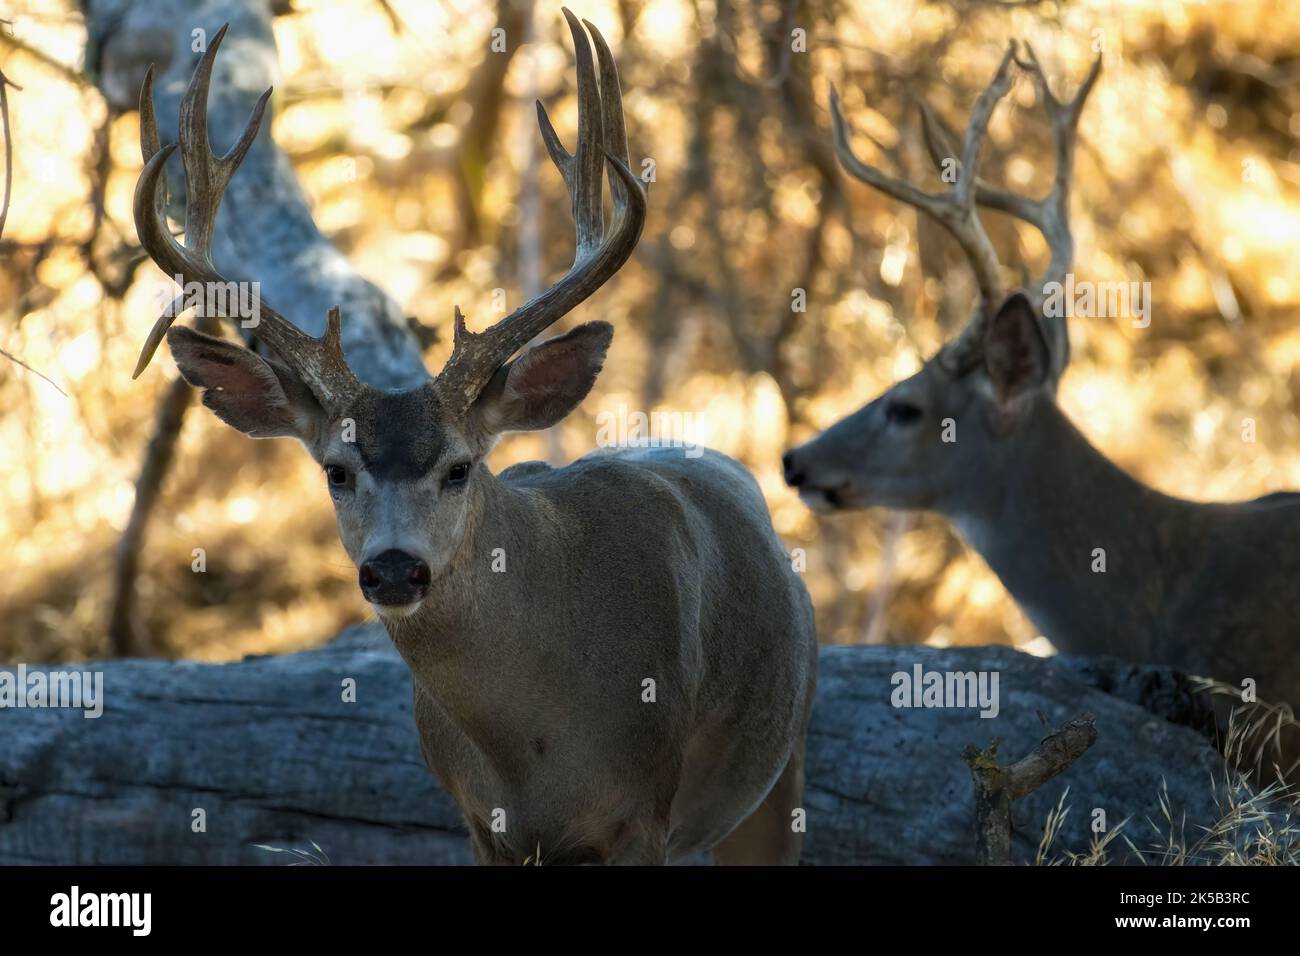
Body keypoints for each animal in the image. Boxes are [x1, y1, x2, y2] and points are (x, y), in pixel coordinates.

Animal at [130, 13, 817, 864]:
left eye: (459, 468)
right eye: (335, 471)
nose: (395, 570)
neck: (538, 746)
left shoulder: (644, 815)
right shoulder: (478, 821)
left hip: (781, 763)